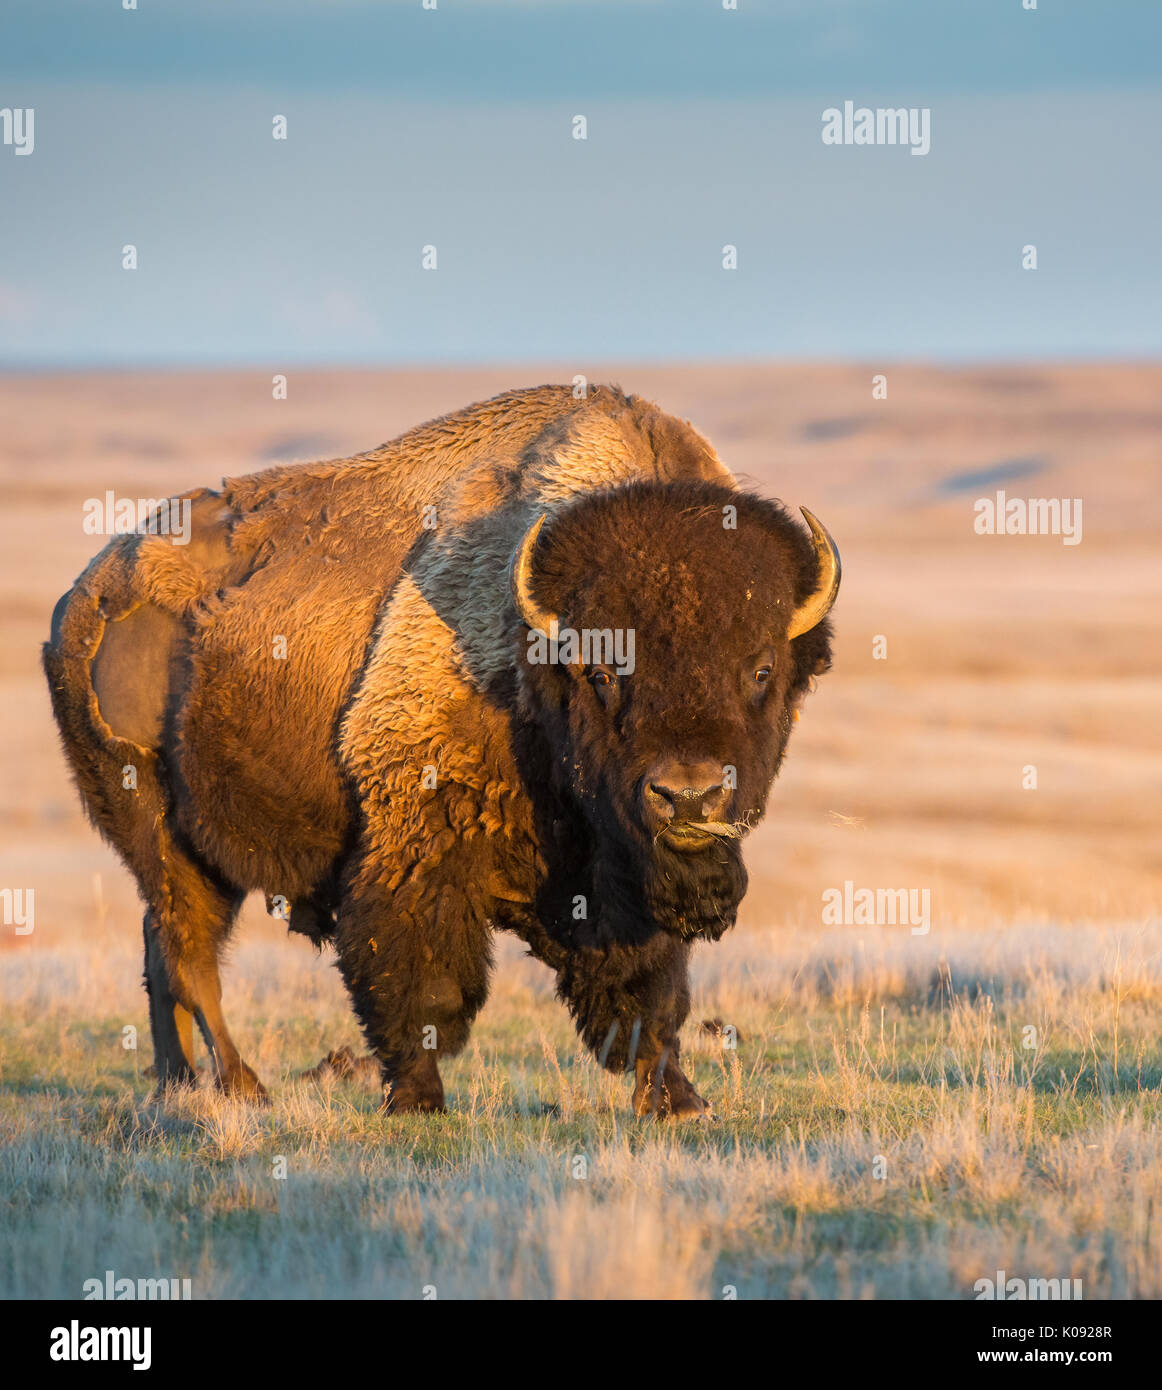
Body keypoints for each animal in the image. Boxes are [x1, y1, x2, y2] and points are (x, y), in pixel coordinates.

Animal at [44, 385, 839, 1118]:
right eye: (603, 672)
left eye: (761, 669)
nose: (689, 796)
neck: (532, 656)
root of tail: (84, 595)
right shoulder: (417, 841)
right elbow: (420, 983)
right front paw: (417, 1101)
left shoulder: (625, 883)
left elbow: (651, 993)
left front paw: (677, 1101)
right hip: (157, 832)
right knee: (188, 956)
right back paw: (244, 1090)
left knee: (163, 954)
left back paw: (177, 1087)